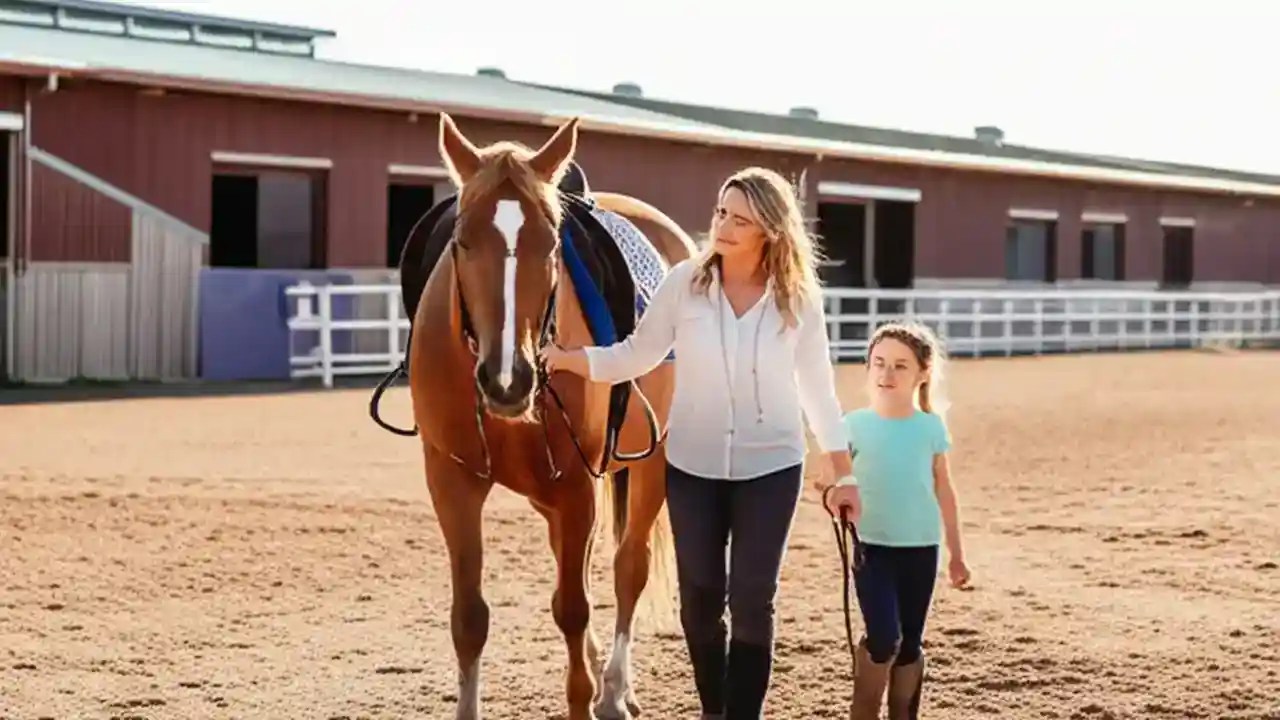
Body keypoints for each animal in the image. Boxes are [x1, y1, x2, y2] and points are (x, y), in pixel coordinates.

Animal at [403, 113, 696, 720]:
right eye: (462, 241)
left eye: (553, 244)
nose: (507, 379)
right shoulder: (451, 481)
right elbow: (470, 617)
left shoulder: (577, 485)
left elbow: (574, 608)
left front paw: (589, 692)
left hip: (650, 463)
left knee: (628, 568)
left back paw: (614, 688)